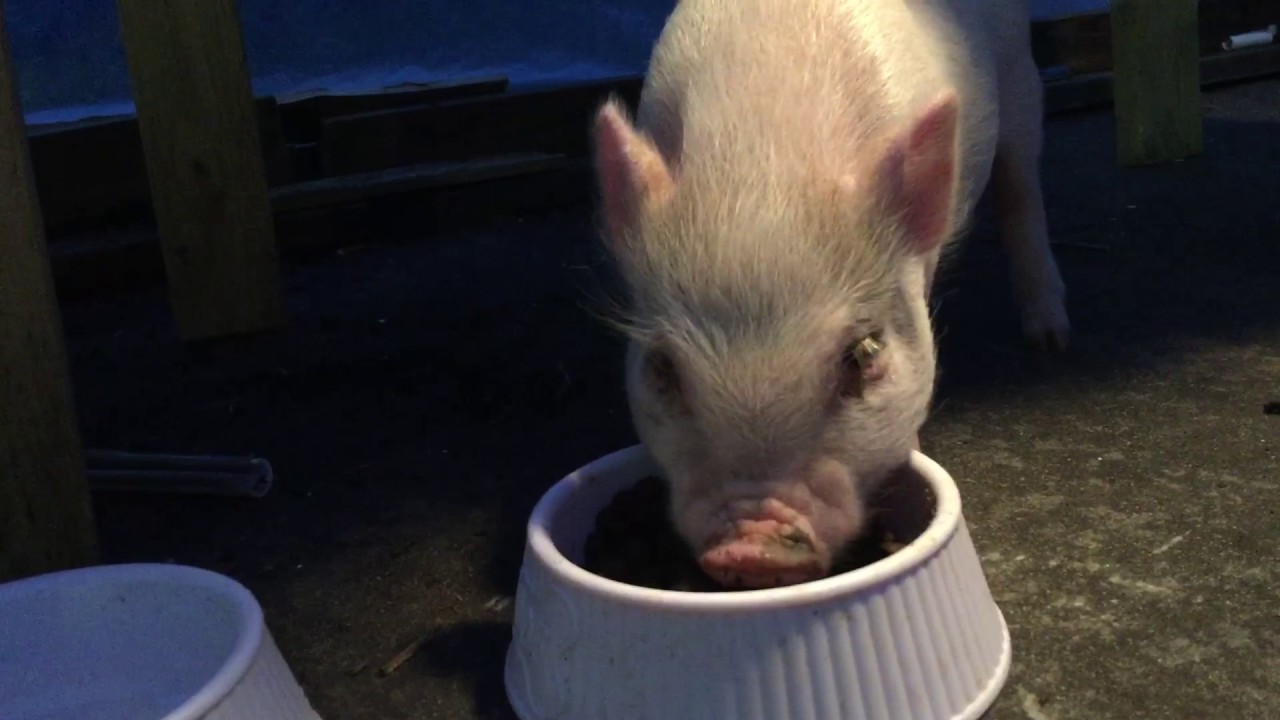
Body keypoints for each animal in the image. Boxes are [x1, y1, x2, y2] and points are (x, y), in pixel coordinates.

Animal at [591, 0, 1069, 589]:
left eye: (862, 355)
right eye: (661, 368)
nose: (750, 550)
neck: (763, 165)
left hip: (1022, 81)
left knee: (1021, 188)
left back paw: (1050, 339)